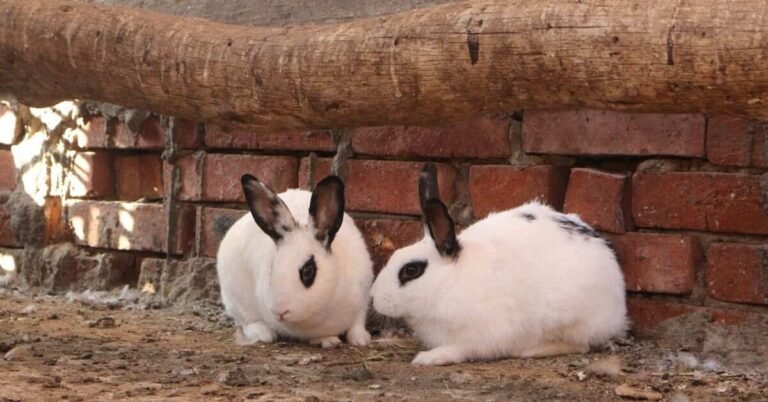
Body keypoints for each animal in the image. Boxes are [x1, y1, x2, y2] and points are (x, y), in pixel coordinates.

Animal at [216, 174, 373, 348]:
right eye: (271, 268)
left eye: (308, 270)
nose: (279, 311)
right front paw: (328, 340)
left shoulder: (363, 298)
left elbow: (357, 323)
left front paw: (360, 339)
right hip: (235, 298)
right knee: (248, 321)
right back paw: (264, 334)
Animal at [370, 163, 628, 365]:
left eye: (411, 270)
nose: (373, 298)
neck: (450, 281)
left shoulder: (482, 336)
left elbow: (459, 349)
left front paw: (428, 358)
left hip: (573, 320)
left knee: (581, 344)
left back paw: (533, 350)